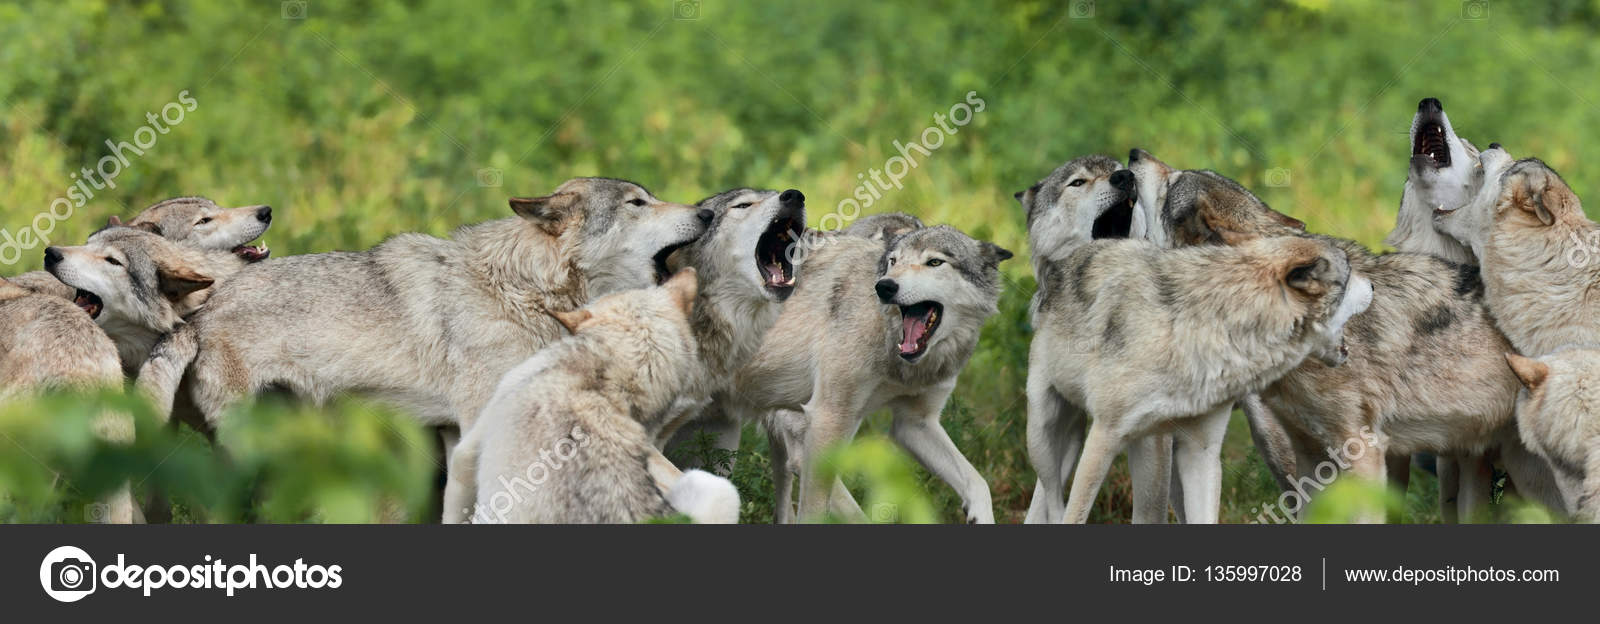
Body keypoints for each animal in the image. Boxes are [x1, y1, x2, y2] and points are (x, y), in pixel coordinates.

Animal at [730, 224, 1011, 523]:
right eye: (893, 262)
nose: (885, 286)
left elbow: (978, 483)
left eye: (935, 262)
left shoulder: (914, 423)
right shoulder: (826, 418)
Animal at [1021, 155, 1371, 524]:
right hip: (1047, 434)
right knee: (1050, 493)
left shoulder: (1193, 448)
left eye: (1169, 184)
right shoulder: (1113, 436)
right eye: (1078, 182)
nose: (1127, 168)